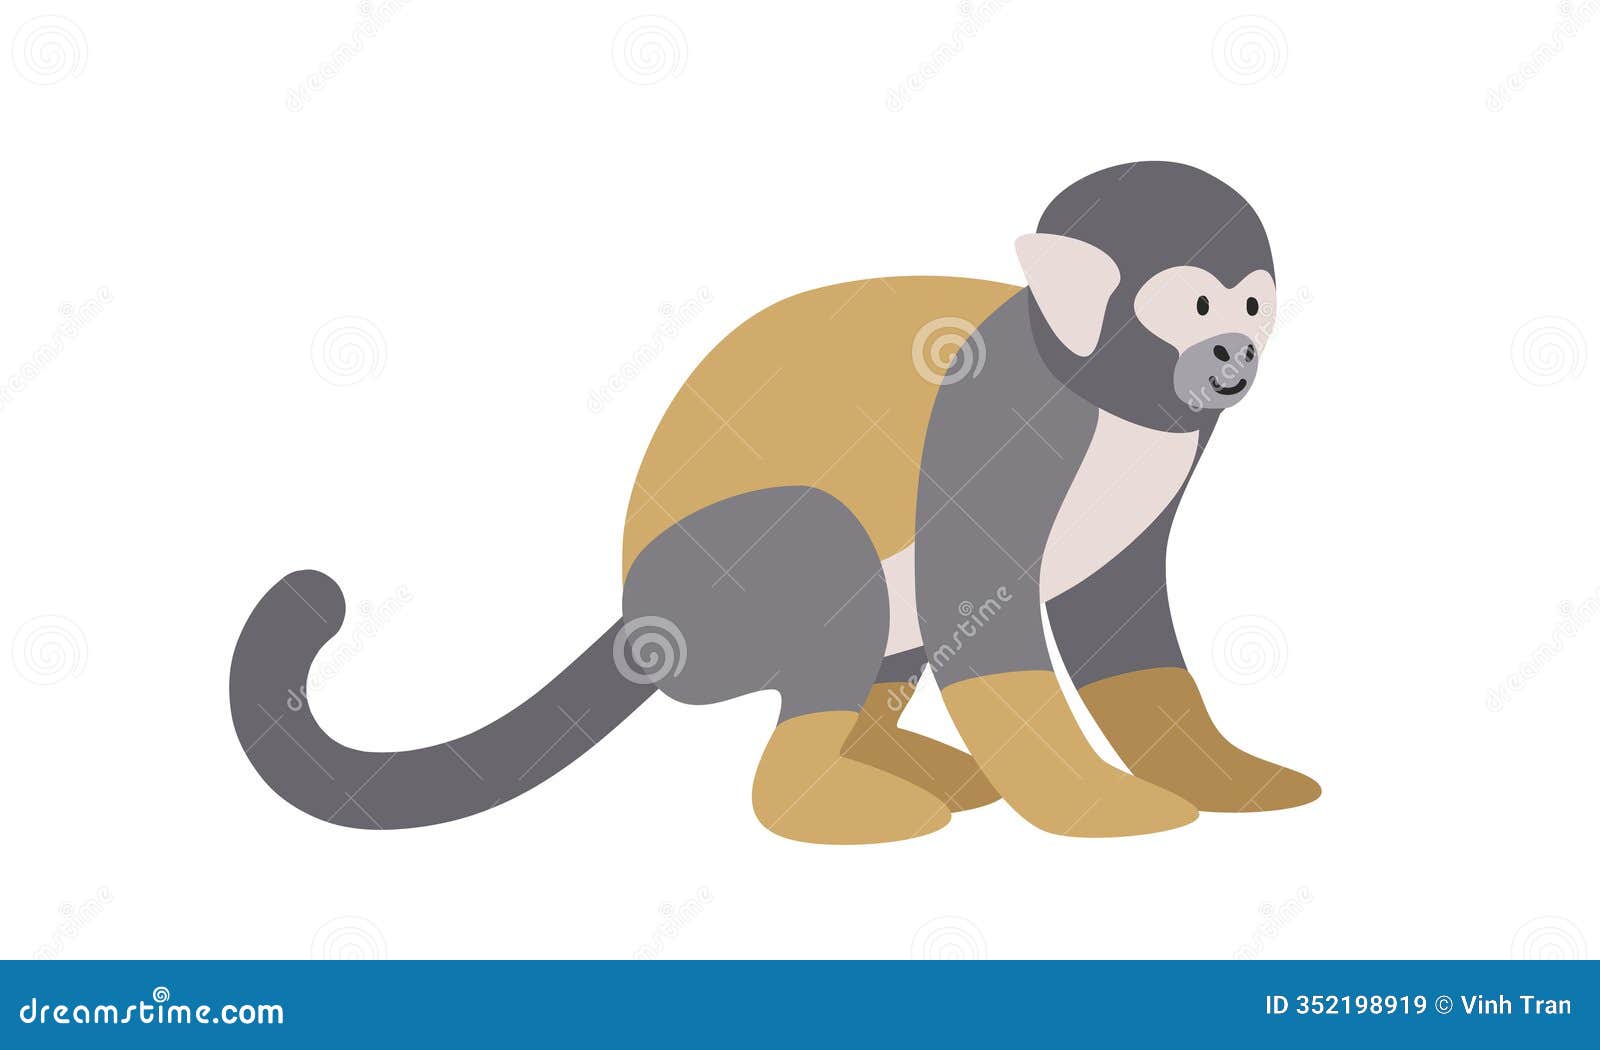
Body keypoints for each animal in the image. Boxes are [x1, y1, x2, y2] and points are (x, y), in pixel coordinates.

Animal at [230, 161, 1319, 844]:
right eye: (1196, 306)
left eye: (1251, 304)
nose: (1235, 352)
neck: (1094, 387)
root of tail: (639, 623)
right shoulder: (1005, 419)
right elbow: (984, 605)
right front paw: (1090, 802)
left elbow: (1114, 624)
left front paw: (1215, 775)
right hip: (718, 605)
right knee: (830, 549)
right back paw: (818, 797)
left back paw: (886, 755)